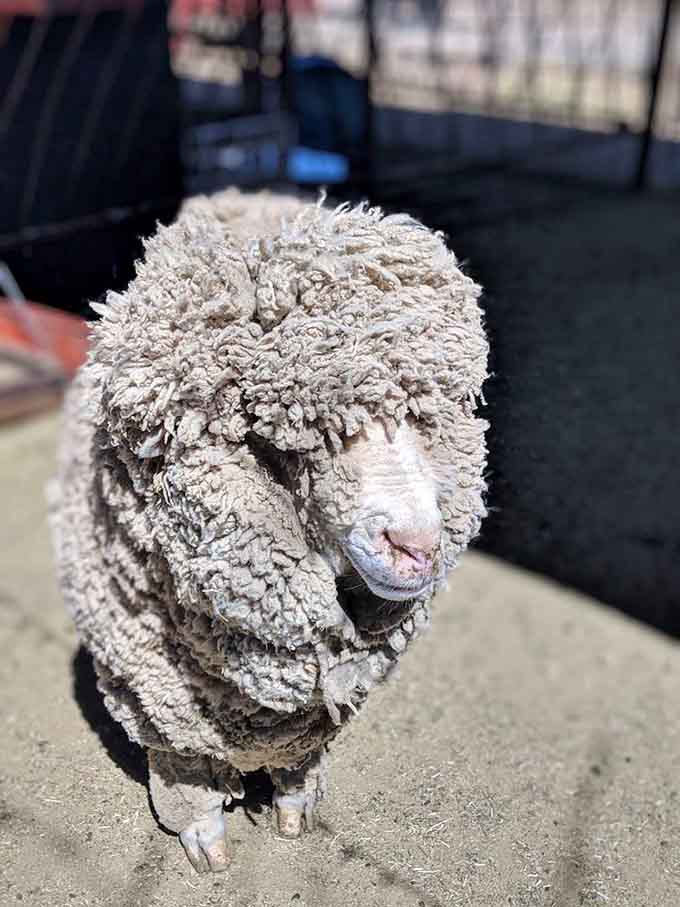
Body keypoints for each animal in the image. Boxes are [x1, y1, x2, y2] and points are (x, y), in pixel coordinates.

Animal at [50, 188, 488, 873]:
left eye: (426, 417)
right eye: (283, 446)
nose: (416, 548)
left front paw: (296, 802)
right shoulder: (155, 696)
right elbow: (184, 769)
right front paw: (203, 835)